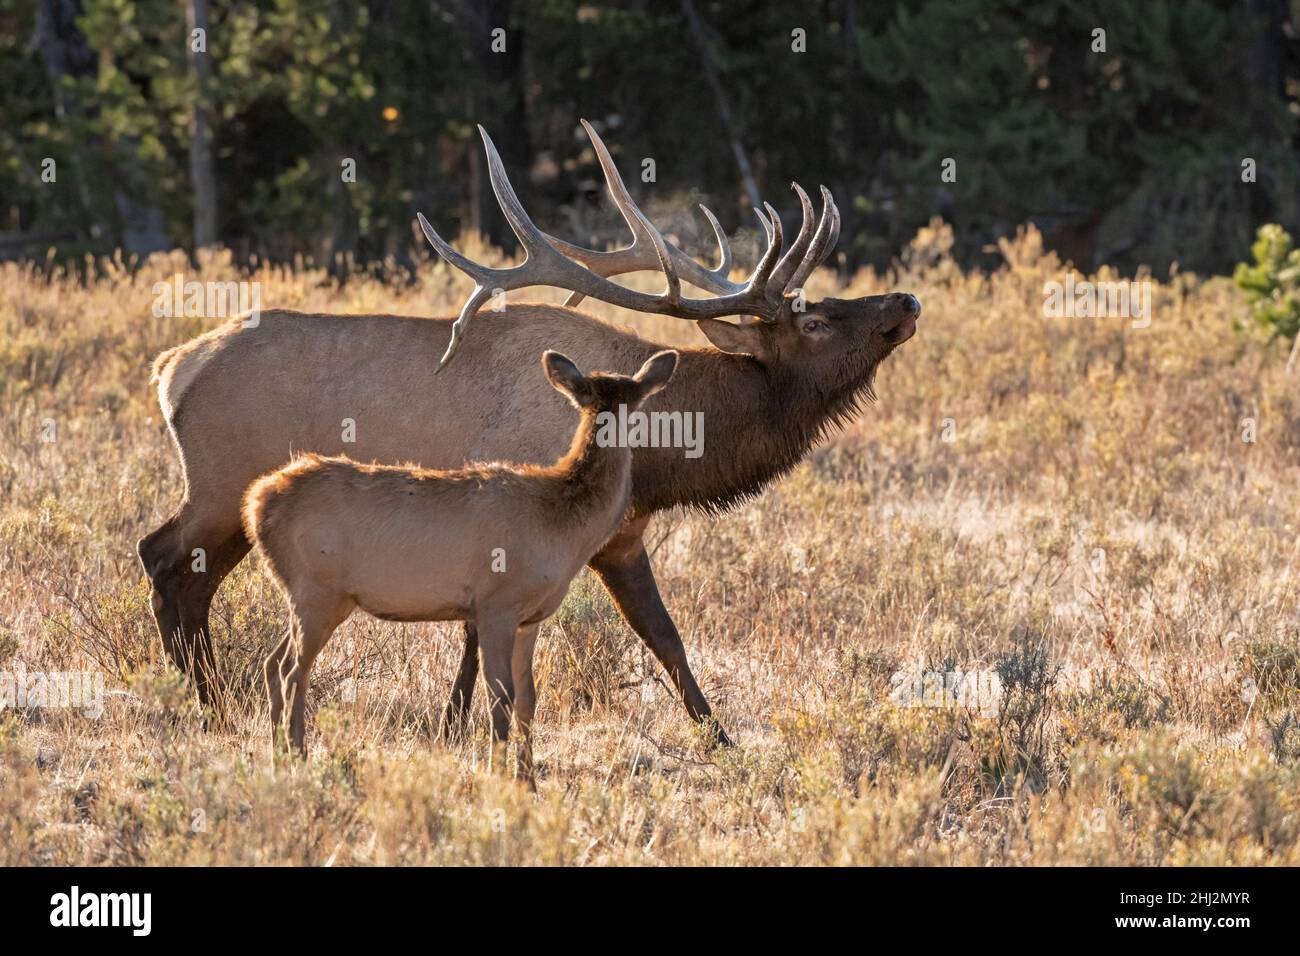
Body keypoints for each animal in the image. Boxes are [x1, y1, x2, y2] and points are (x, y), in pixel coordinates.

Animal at [243, 348, 681, 780]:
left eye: (632, 402)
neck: (560, 526)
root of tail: (258, 503)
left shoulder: (531, 617)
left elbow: (528, 696)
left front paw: (528, 780)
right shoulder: (496, 603)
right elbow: (500, 693)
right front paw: (497, 772)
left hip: (313, 595)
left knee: (272, 663)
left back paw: (279, 757)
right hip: (316, 589)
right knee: (291, 672)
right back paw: (298, 758)